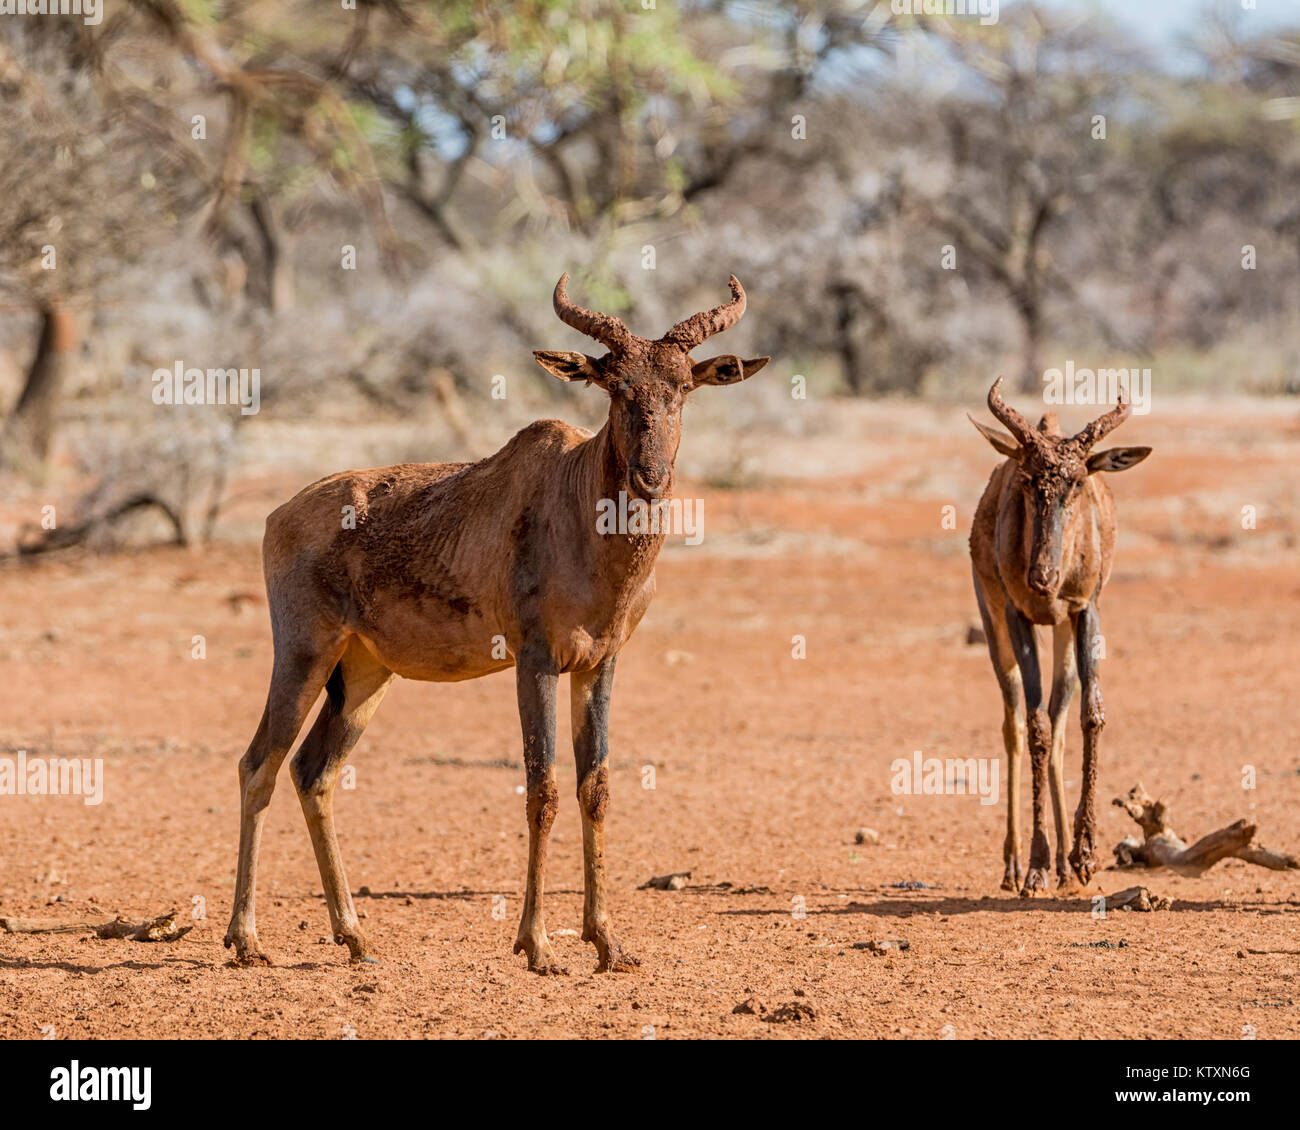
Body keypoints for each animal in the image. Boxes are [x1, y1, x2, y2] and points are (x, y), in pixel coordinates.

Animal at [223, 275, 769, 972]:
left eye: (682, 386)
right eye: (616, 385)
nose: (652, 479)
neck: (573, 497)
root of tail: (278, 516)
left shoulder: (599, 664)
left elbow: (596, 787)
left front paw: (608, 944)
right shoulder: (535, 660)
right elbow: (542, 790)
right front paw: (537, 945)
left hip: (364, 675)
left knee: (313, 773)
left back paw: (354, 936)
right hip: (302, 655)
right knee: (258, 765)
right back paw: (246, 938)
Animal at [969, 377, 1150, 895]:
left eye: (1079, 481)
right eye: (1029, 480)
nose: (1042, 578)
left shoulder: (1086, 610)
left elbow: (1089, 715)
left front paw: (1085, 855)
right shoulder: (1016, 615)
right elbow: (1035, 730)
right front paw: (1036, 865)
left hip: (1065, 632)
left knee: (1060, 716)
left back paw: (1068, 868)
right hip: (992, 620)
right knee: (1013, 720)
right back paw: (1013, 865)